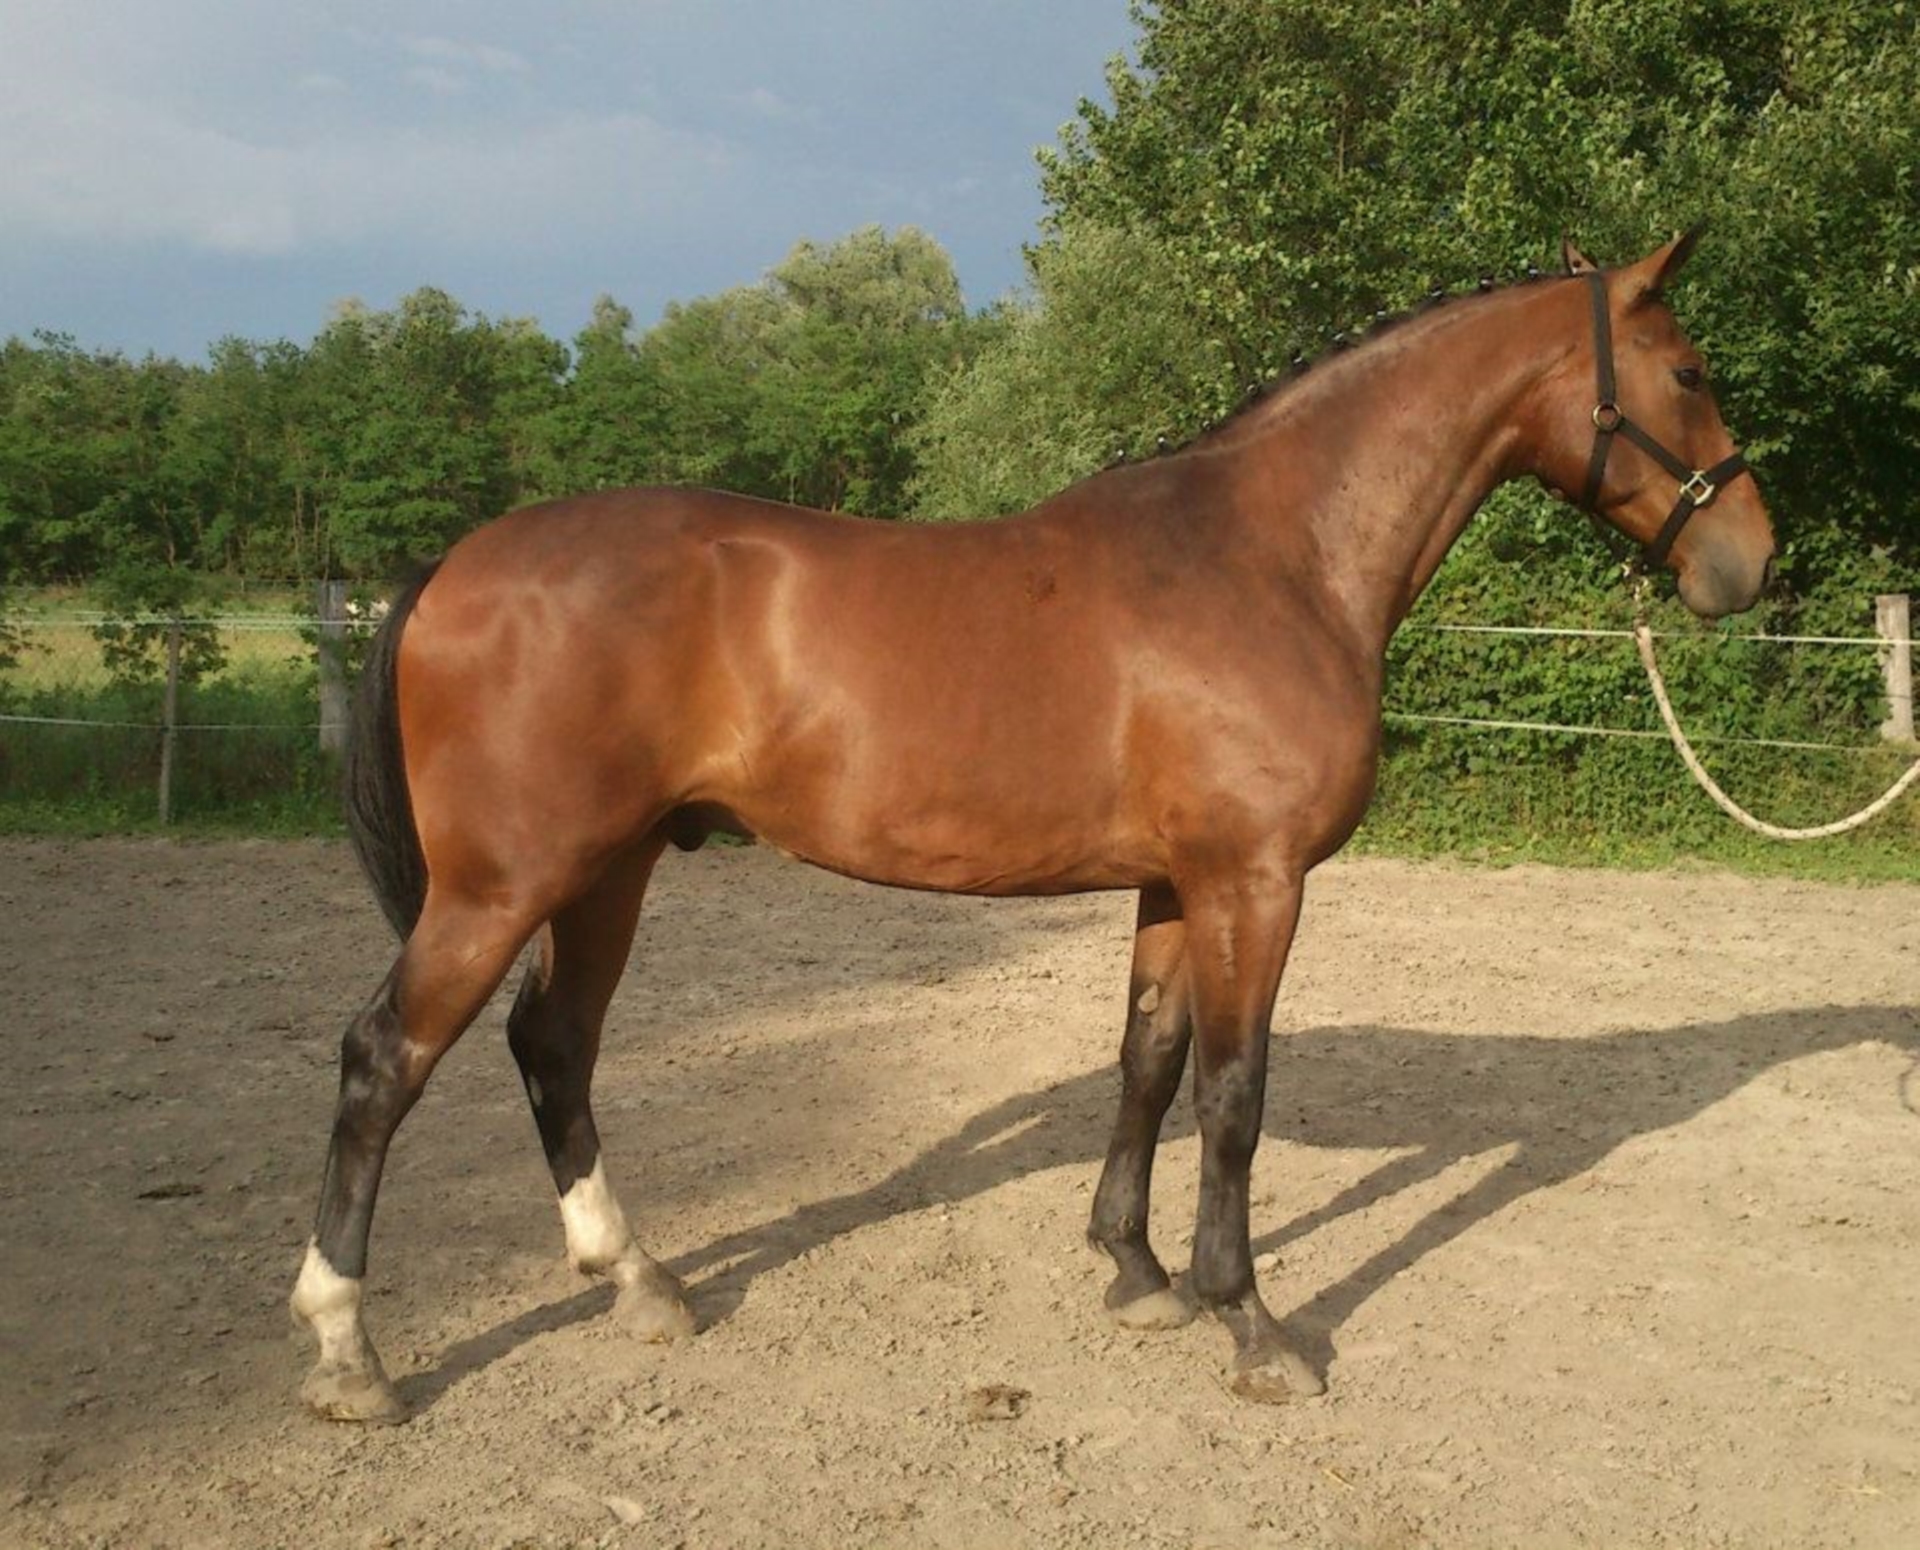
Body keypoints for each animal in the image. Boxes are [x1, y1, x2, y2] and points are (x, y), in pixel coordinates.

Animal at [289, 233, 1775, 1421]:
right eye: (1691, 370)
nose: (1753, 560)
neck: (1272, 555)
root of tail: (455, 563)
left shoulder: (1177, 884)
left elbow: (1149, 1062)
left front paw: (1136, 1269)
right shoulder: (1255, 880)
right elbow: (1234, 1093)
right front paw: (1253, 1323)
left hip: (608, 871)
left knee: (554, 1044)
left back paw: (642, 1282)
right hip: (505, 883)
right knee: (384, 1059)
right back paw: (351, 1353)